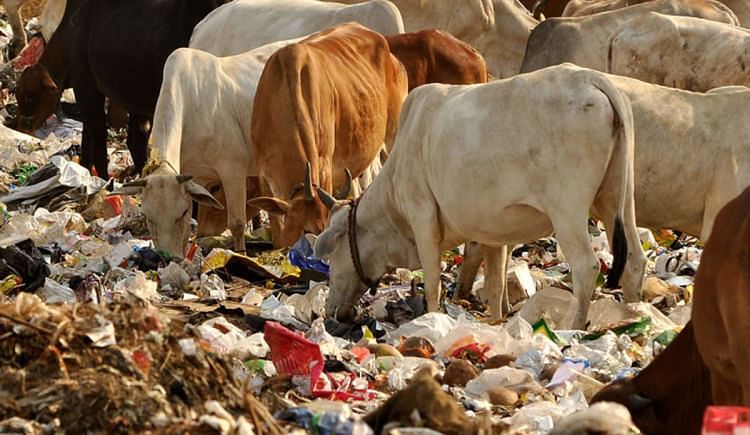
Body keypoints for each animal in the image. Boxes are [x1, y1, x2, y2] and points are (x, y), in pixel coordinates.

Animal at [111, 38, 299, 257]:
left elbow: (237, 223)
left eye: (182, 212)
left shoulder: (232, 169)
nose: (167, 258)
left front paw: (240, 255)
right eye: (148, 217)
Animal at [313, 63, 646, 330]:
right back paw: (632, 316)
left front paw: (433, 320)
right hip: (616, 199)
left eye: (332, 255)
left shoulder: (423, 217)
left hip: (568, 210)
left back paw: (575, 327)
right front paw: (496, 321)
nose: (331, 311)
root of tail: (589, 78)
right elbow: (496, 285)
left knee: (586, 267)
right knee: (634, 260)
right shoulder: (494, 235)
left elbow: (432, 283)